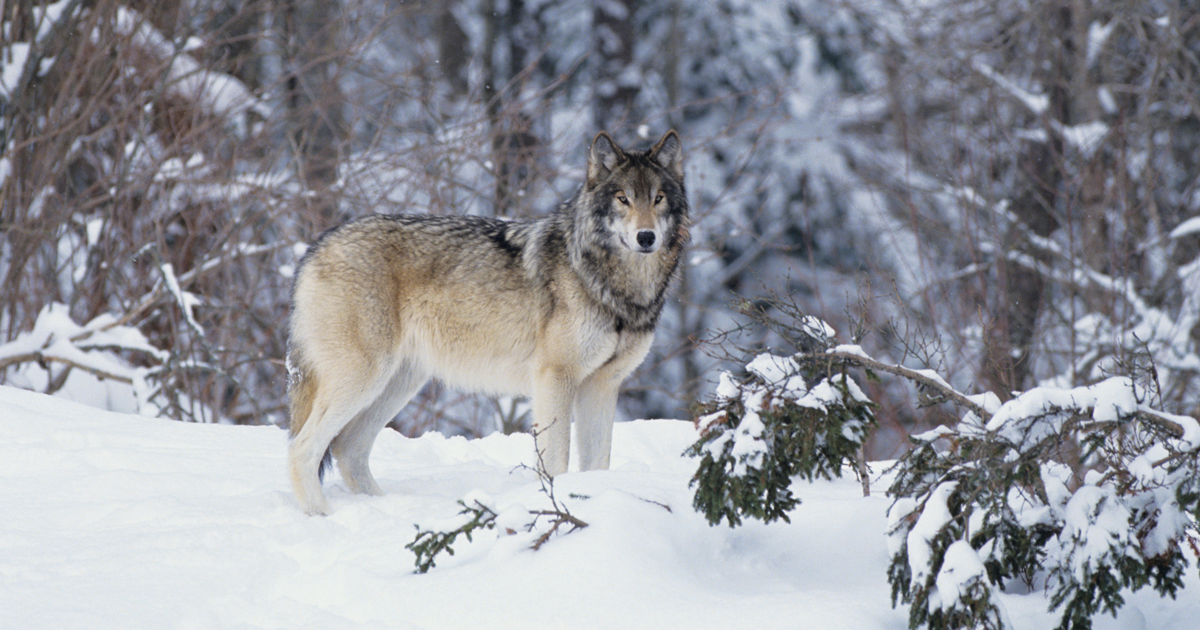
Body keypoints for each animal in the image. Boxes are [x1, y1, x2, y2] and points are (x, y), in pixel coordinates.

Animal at [286, 130, 688, 515]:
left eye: (657, 199)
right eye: (623, 199)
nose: (646, 237)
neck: (610, 283)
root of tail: (314, 249)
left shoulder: (602, 385)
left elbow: (598, 464)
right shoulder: (555, 378)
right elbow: (556, 461)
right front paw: (557, 504)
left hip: (398, 384)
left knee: (347, 450)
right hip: (365, 379)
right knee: (302, 448)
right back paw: (321, 515)